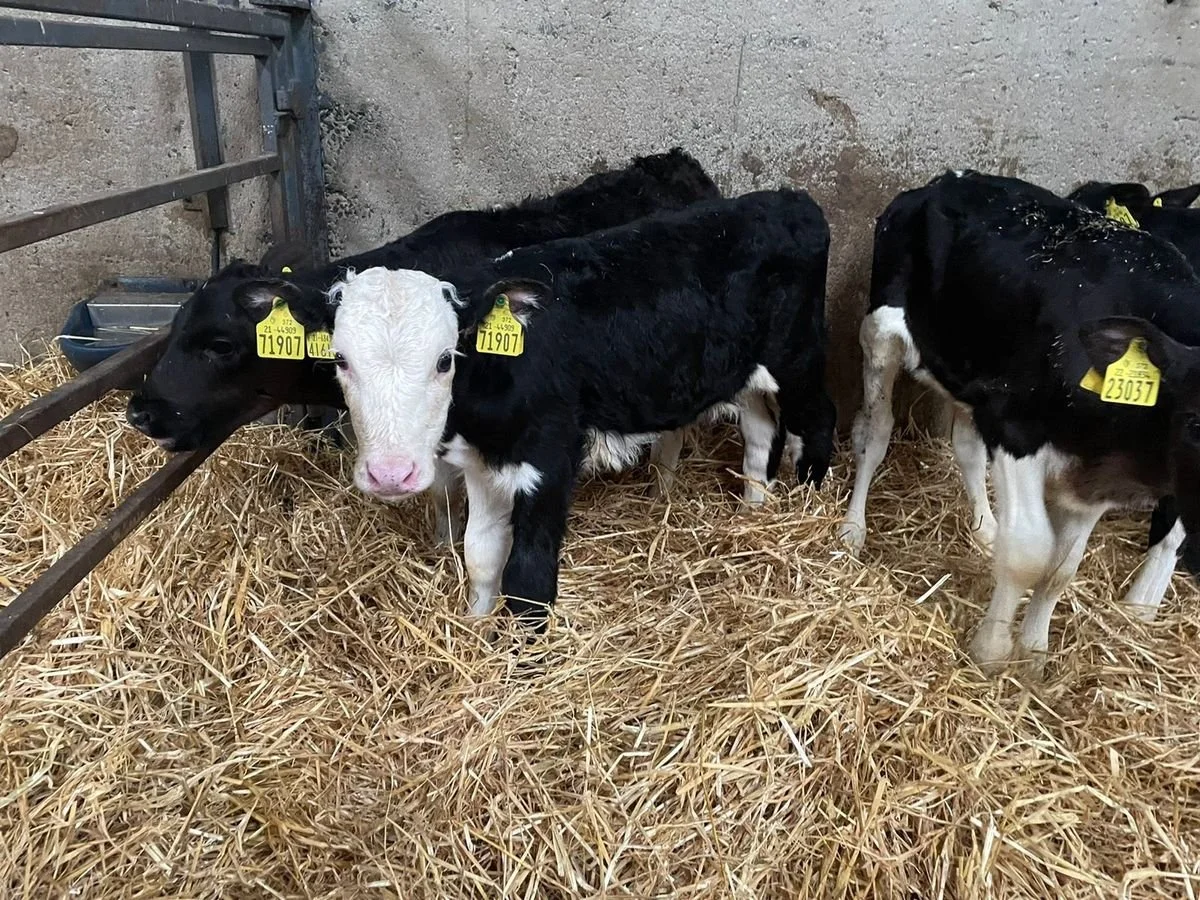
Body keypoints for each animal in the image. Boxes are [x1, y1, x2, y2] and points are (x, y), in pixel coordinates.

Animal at [281, 189, 836, 629]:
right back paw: (753, 511)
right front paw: (476, 629)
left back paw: (810, 506)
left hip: (801, 360)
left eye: (445, 359)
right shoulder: (483, 462)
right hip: (747, 375)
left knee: (817, 424)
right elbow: (480, 557)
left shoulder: (550, 459)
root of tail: (791, 199)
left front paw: (520, 668)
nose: (391, 475)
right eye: (340, 360)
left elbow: (528, 580)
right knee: (760, 434)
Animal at [838, 170, 1200, 675]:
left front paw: (1034, 653)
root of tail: (947, 178)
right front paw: (990, 651)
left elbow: (1061, 569)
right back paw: (852, 530)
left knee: (967, 449)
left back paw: (985, 528)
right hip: (882, 332)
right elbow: (1030, 553)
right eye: (1196, 421)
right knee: (874, 435)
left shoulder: (1097, 479)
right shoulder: (1014, 426)